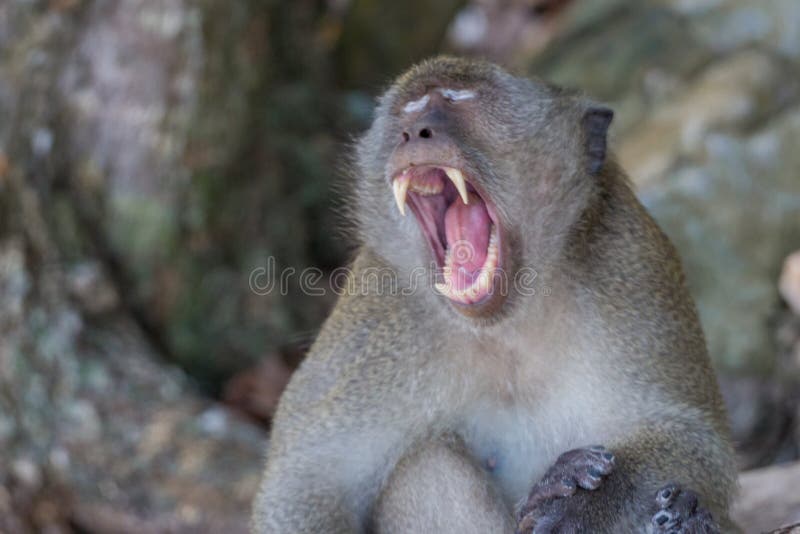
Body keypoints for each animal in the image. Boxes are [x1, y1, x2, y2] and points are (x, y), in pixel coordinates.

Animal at [251, 56, 739, 533]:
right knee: (428, 469)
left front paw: (583, 505)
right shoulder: (375, 319)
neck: (506, 326)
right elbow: (310, 479)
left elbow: (694, 439)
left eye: (460, 99)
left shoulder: (633, 265)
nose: (413, 132)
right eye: (406, 113)